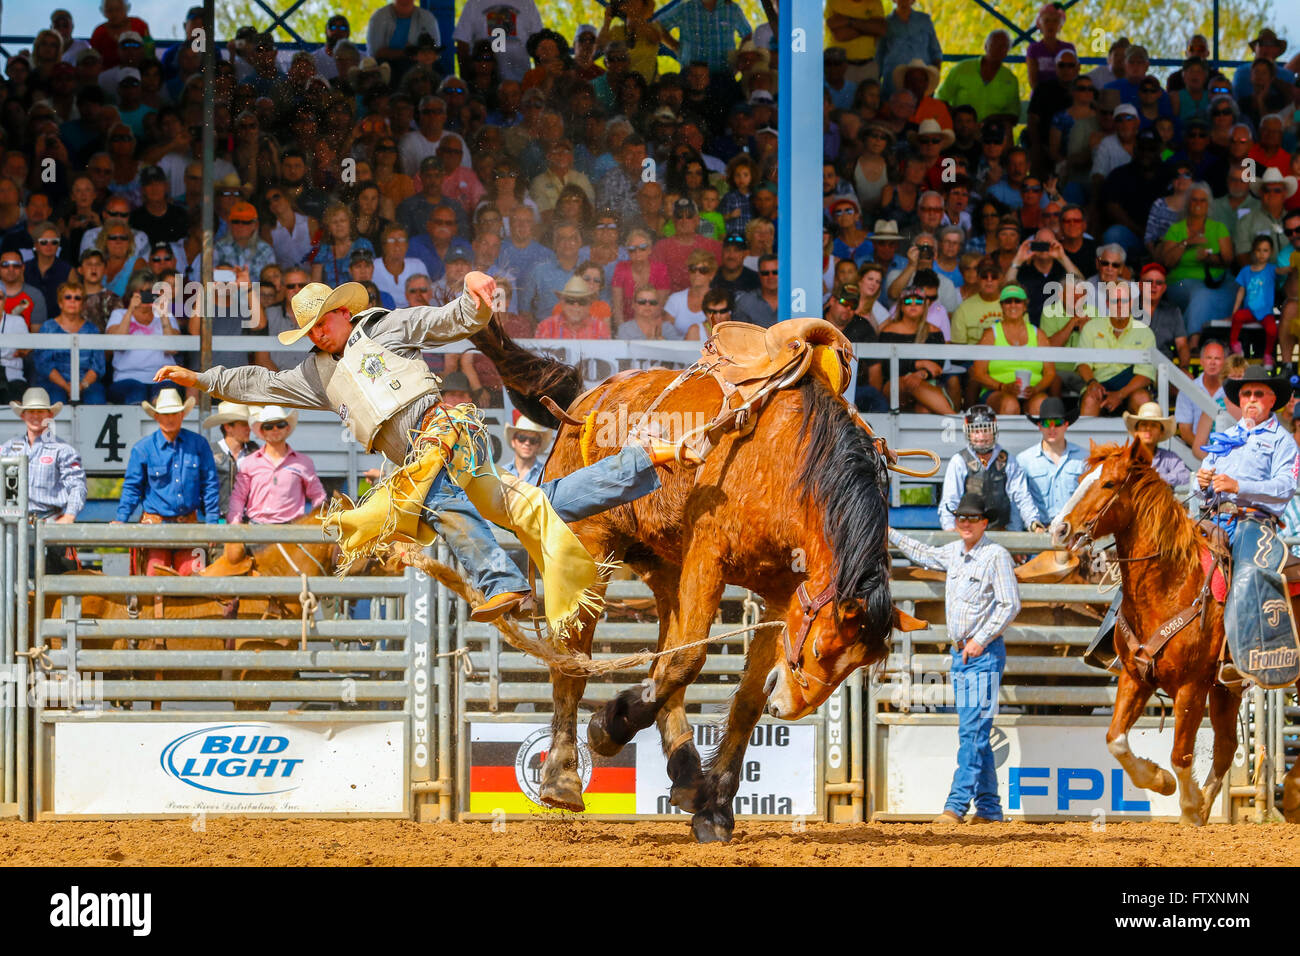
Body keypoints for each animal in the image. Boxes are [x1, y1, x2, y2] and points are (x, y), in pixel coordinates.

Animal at [473, 322, 895, 842]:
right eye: (821, 647)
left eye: (854, 666)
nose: (790, 708)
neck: (792, 464)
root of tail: (589, 398)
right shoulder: (708, 557)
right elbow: (689, 661)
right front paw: (608, 726)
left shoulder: (781, 598)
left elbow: (741, 696)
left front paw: (715, 806)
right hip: (591, 548)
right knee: (573, 659)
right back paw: (563, 776)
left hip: (664, 567)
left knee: (663, 654)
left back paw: (688, 774)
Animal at [1050, 438, 1300, 824]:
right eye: (1081, 479)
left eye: (1108, 484)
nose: (1058, 529)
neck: (1171, 583)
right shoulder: (1135, 676)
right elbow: (1115, 739)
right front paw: (1162, 783)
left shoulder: (1191, 687)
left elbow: (1181, 754)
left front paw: (1188, 804)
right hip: (1226, 689)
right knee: (1226, 746)